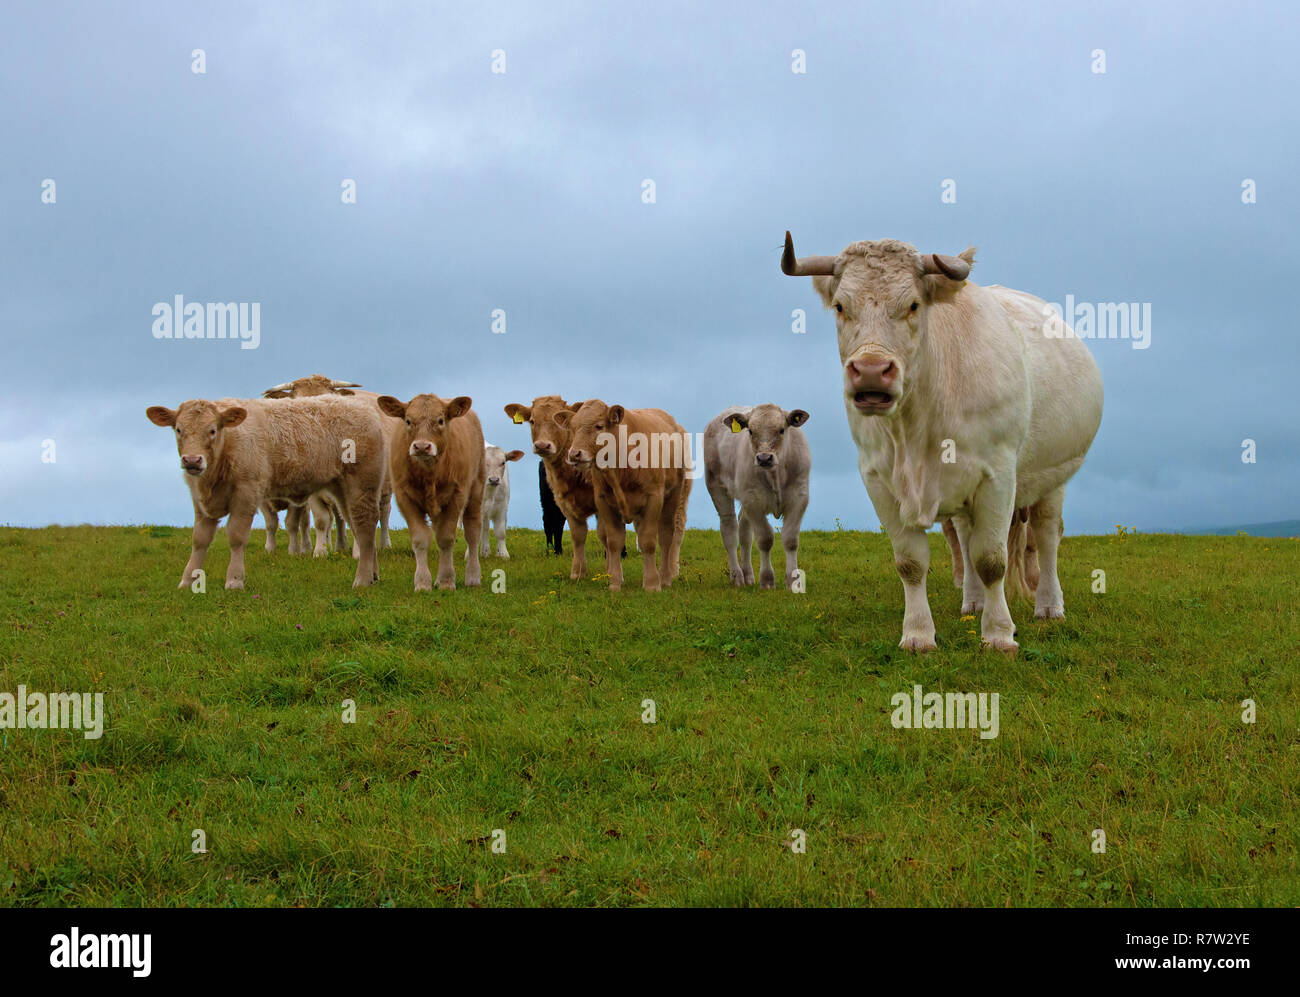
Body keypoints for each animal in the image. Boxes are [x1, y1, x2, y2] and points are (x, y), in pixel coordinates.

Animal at [145, 395, 385, 589]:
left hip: (362, 485)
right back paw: (373, 575)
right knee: (360, 528)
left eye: (212, 430)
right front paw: (188, 580)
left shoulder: (247, 493)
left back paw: (362, 579)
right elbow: (200, 539)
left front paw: (234, 580)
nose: (192, 460)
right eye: (178, 429)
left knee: (365, 526)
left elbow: (236, 536)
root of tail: (364, 407)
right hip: (342, 489)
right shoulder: (200, 501)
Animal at [376, 393, 486, 591]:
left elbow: (446, 538)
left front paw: (446, 581)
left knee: (473, 532)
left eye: (440, 420)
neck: (429, 474)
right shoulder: (405, 498)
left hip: (476, 489)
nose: (421, 447)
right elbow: (420, 539)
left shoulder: (456, 496)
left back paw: (473, 576)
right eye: (408, 420)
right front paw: (422, 582)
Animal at [555, 400, 691, 592]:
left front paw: (652, 584)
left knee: (666, 536)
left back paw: (665, 577)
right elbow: (614, 542)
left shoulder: (654, 498)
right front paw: (615, 582)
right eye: (573, 428)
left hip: (673, 496)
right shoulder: (603, 501)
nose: (574, 454)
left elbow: (648, 541)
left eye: (599, 426)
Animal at [703, 404, 811, 591]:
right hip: (717, 486)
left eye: (781, 430)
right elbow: (765, 539)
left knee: (744, 533)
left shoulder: (799, 498)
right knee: (730, 531)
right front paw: (767, 580)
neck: (775, 475)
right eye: (751, 431)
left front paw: (793, 581)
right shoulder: (753, 501)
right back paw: (737, 576)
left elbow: (790, 539)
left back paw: (748, 575)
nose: (764, 458)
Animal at [781, 231, 1103, 653]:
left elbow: (992, 560)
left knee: (1047, 535)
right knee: (966, 539)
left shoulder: (998, 475)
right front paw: (918, 634)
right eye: (840, 306)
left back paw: (1049, 606)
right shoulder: (877, 479)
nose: (871, 372)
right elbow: (911, 562)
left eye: (913, 305)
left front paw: (999, 634)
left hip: (1055, 475)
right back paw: (973, 602)